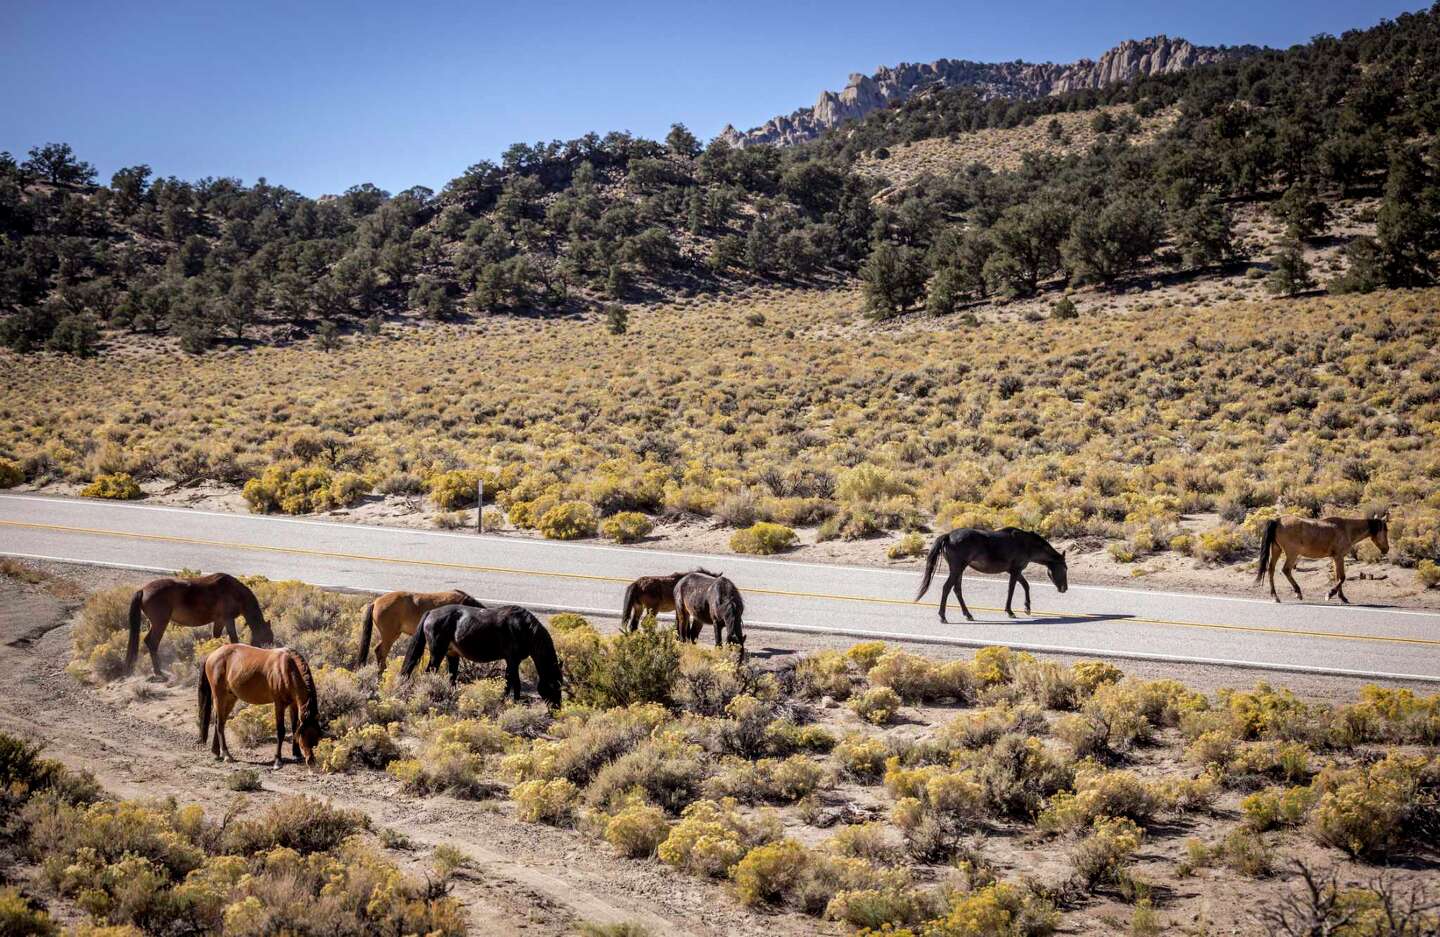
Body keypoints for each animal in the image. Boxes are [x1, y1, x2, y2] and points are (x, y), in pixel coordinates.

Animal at [127, 573, 275, 678]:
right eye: (267, 638)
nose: (266, 659)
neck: (234, 592)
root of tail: (143, 590)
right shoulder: (228, 619)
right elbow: (234, 639)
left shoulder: (219, 621)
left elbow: (216, 637)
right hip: (160, 623)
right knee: (152, 643)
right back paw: (159, 672)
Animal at [399, 604, 562, 707]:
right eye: (554, 685)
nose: (557, 709)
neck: (524, 629)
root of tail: (430, 613)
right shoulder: (513, 660)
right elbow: (515, 683)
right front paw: (515, 702)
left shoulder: (511, 662)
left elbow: (508, 681)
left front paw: (504, 700)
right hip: (437, 654)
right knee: (430, 673)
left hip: (451, 655)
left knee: (451, 677)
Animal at [915, 527, 1069, 623]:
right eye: (1065, 568)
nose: (1064, 588)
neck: (1027, 544)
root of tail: (948, 536)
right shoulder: (1015, 571)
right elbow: (1012, 590)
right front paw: (1010, 611)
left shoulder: (1015, 570)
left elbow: (1026, 585)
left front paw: (1027, 608)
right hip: (957, 568)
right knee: (947, 588)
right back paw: (943, 616)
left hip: (959, 570)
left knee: (956, 589)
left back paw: (968, 615)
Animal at [1255, 512, 1389, 604]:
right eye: (1386, 530)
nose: (1386, 549)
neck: (1346, 528)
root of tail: (1277, 520)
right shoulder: (1339, 556)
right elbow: (1342, 577)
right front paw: (1329, 594)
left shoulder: (1335, 557)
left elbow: (1337, 577)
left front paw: (1342, 598)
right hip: (1292, 554)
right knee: (1285, 570)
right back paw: (1298, 592)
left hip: (1276, 550)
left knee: (1271, 570)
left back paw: (1275, 596)